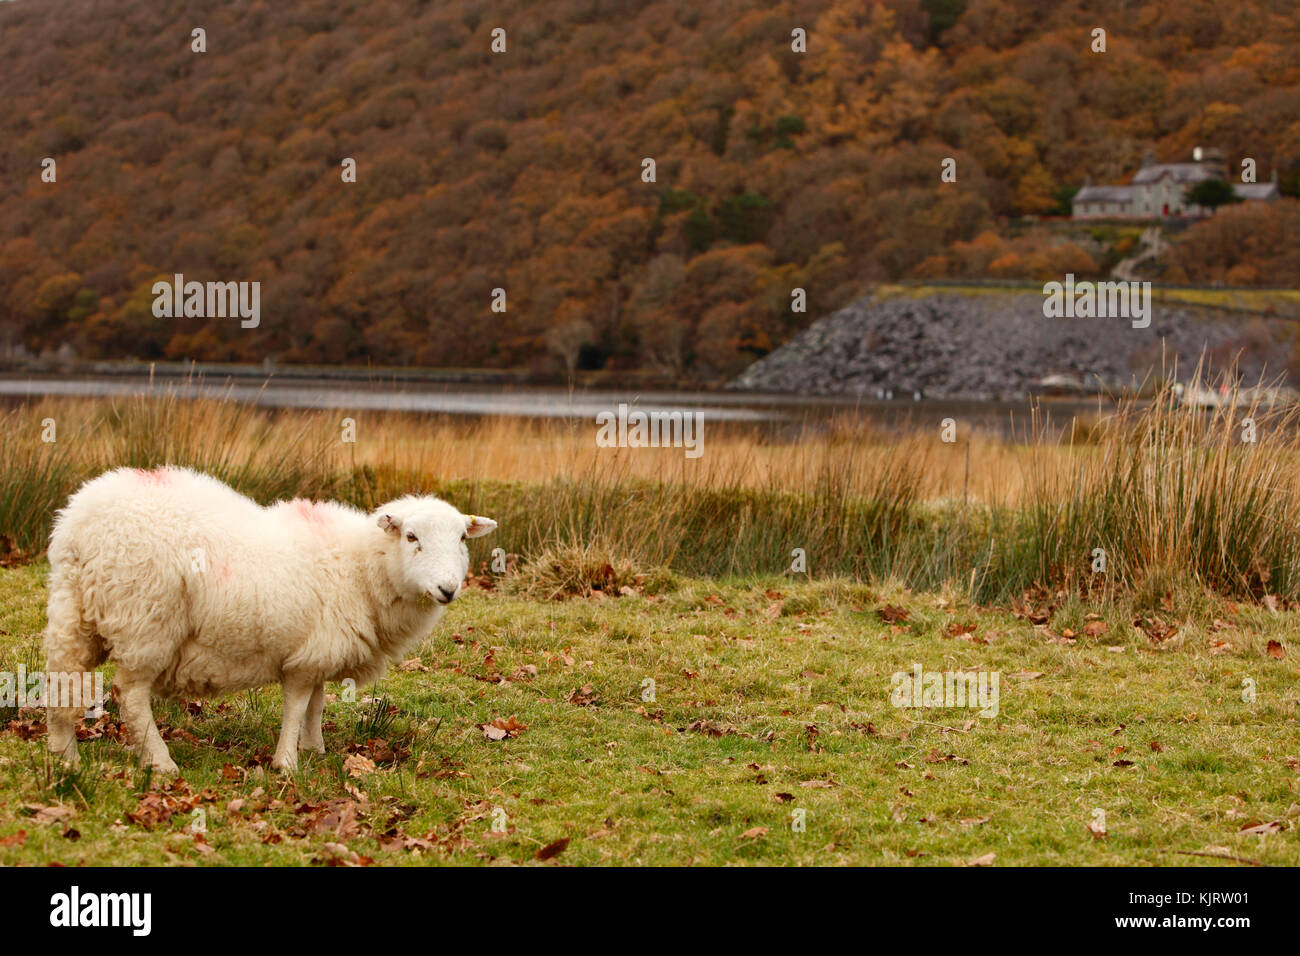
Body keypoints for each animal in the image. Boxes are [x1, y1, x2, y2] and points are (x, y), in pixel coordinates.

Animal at [43, 466, 496, 773]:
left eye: (461, 538)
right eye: (411, 537)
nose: (448, 588)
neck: (362, 567)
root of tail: (77, 524)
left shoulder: (320, 647)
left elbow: (316, 703)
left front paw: (315, 749)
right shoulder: (306, 655)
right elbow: (297, 705)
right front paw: (287, 763)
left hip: (74, 610)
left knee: (61, 678)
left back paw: (65, 756)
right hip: (146, 619)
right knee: (131, 695)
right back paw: (160, 762)